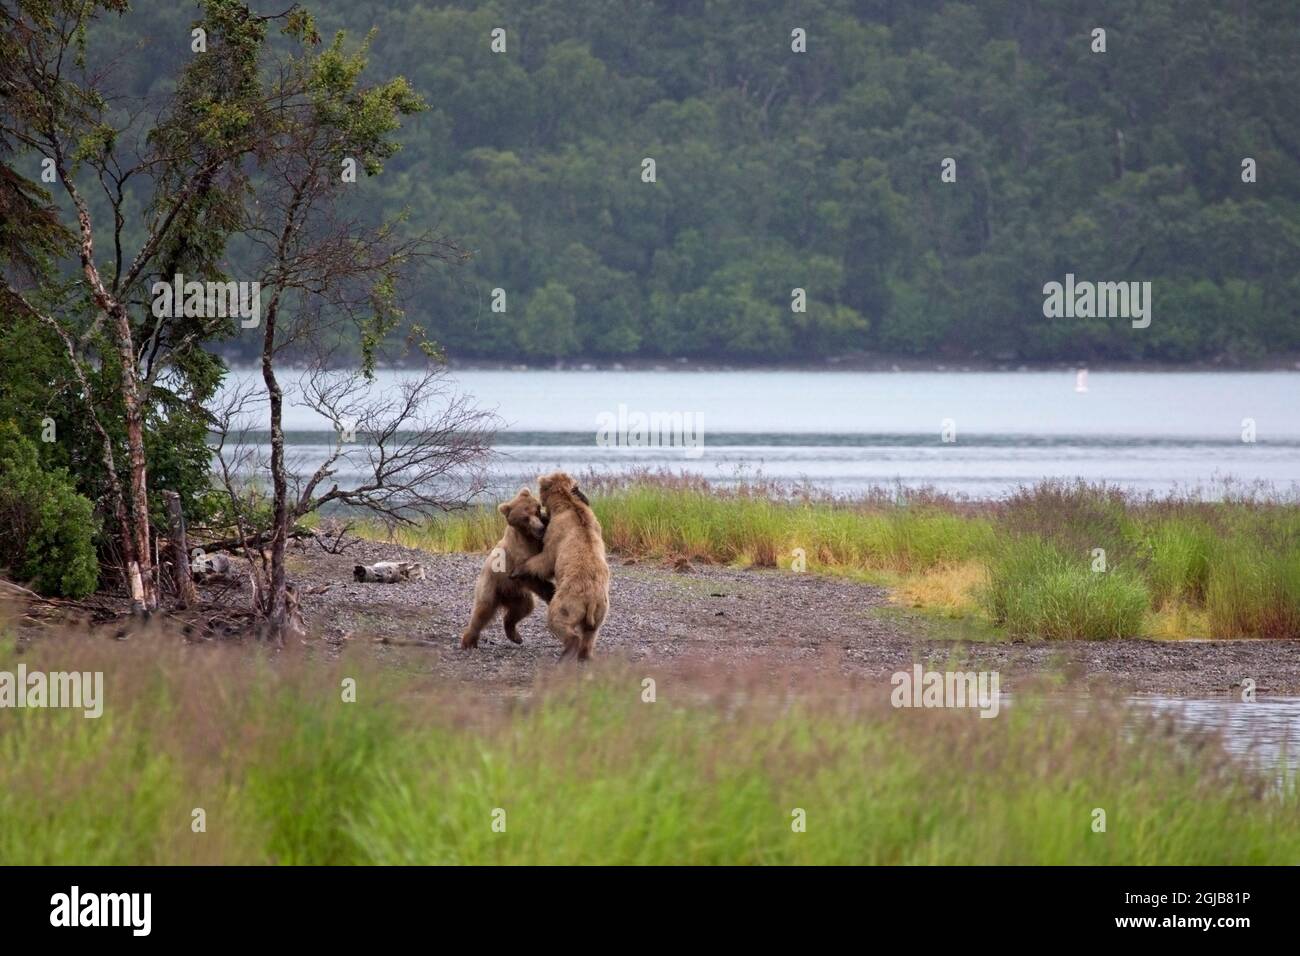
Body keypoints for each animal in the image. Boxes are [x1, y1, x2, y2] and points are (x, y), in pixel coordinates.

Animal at [459, 486, 555, 649]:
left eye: (536, 510)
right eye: (525, 518)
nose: (540, 528)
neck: (527, 536)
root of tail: (503, 598)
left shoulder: (537, 543)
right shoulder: (518, 553)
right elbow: (530, 574)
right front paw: (550, 592)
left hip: (517, 594)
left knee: (522, 609)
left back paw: (515, 636)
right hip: (491, 586)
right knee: (482, 611)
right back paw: (468, 641)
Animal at [511, 471, 609, 660]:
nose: (543, 514)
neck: (566, 504)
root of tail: (591, 600)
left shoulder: (556, 532)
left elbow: (545, 560)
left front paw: (518, 569)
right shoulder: (594, 522)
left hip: (568, 602)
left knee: (558, 620)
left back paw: (568, 650)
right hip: (601, 610)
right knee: (591, 633)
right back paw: (585, 654)